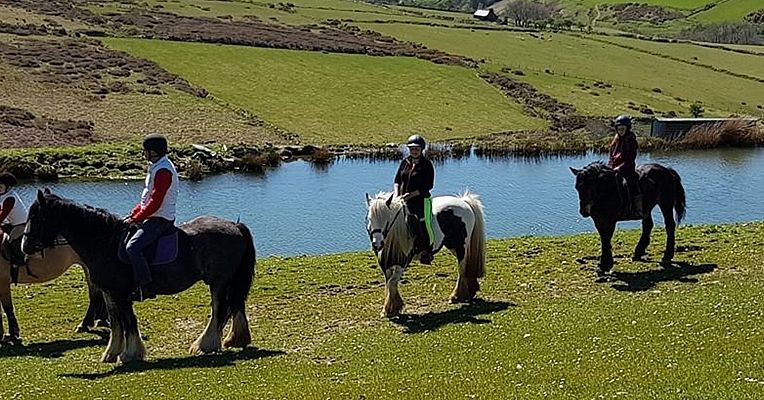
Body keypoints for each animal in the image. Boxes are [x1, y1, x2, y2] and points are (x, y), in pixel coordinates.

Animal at [21, 190, 256, 363]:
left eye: (36, 217)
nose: (25, 247)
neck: (104, 243)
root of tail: (235, 225)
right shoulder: (109, 293)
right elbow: (117, 322)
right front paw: (111, 353)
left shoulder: (120, 293)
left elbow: (128, 321)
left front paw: (130, 353)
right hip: (226, 281)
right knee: (233, 306)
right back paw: (233, 340)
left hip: (219, 282)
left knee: (220, 309)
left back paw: (205, 344)